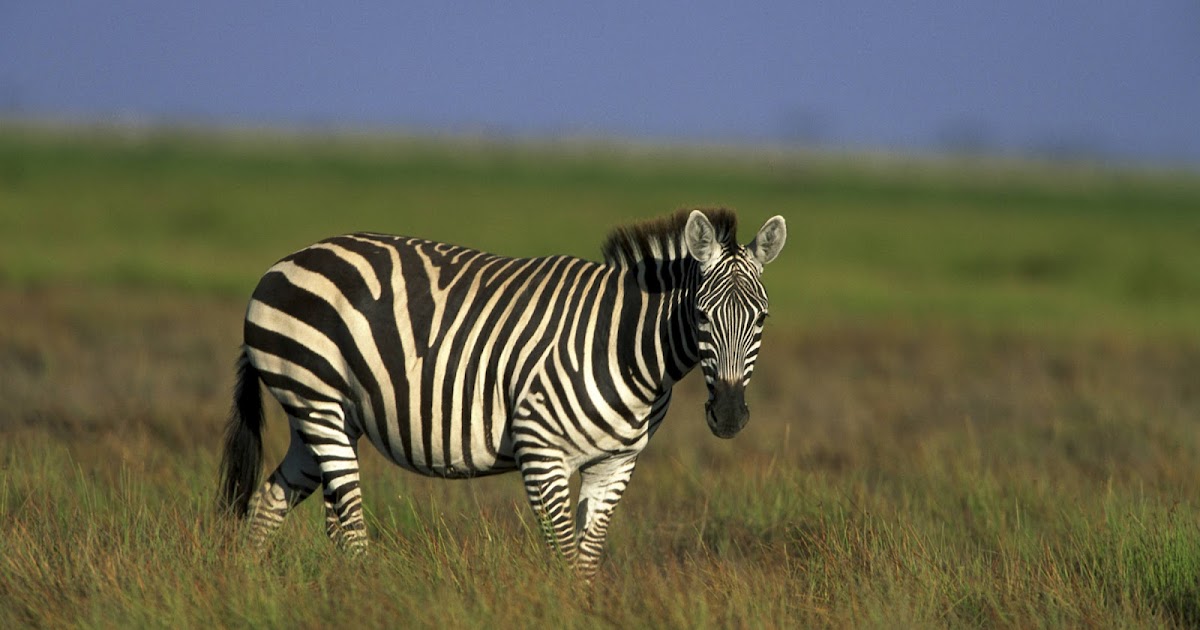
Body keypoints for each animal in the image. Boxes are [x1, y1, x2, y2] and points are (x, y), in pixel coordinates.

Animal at [218, 207, 786, 580]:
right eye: (702, 316)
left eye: (761, 319)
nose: (729, 417)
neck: (626, 346)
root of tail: (287, 262)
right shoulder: (541, 452)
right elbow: (564, 556)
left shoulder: (616, 463)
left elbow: (586, 561)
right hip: (315, 399)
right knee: (350, 529)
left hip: (325, 418)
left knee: (272, 503)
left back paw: (250, 589)